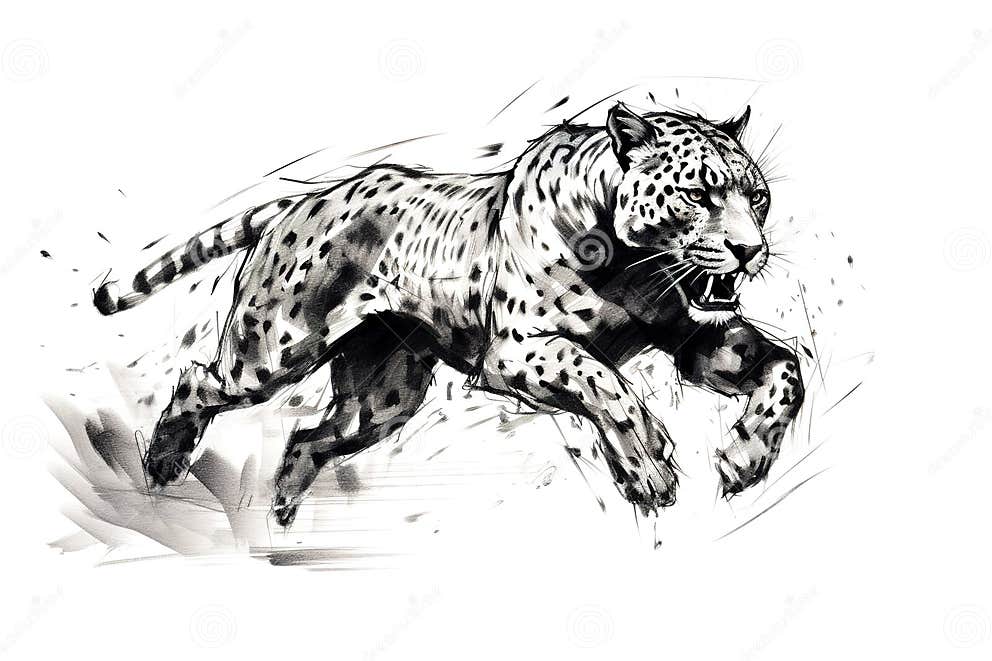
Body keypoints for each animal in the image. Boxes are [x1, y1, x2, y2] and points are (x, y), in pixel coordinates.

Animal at [93, 102, 804, 526]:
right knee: (199, 379)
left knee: (310, 437)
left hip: (383, 397)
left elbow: (787, 369)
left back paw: (283, 517)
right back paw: (161, 468)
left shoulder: (698, 339)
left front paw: (743, 460)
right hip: (274, 348)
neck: (635, 267)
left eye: (758, 197)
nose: (751, 249)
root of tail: (306, 201)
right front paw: (649, 468)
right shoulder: (517, 351)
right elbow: (604, 381)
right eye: (699, 194)